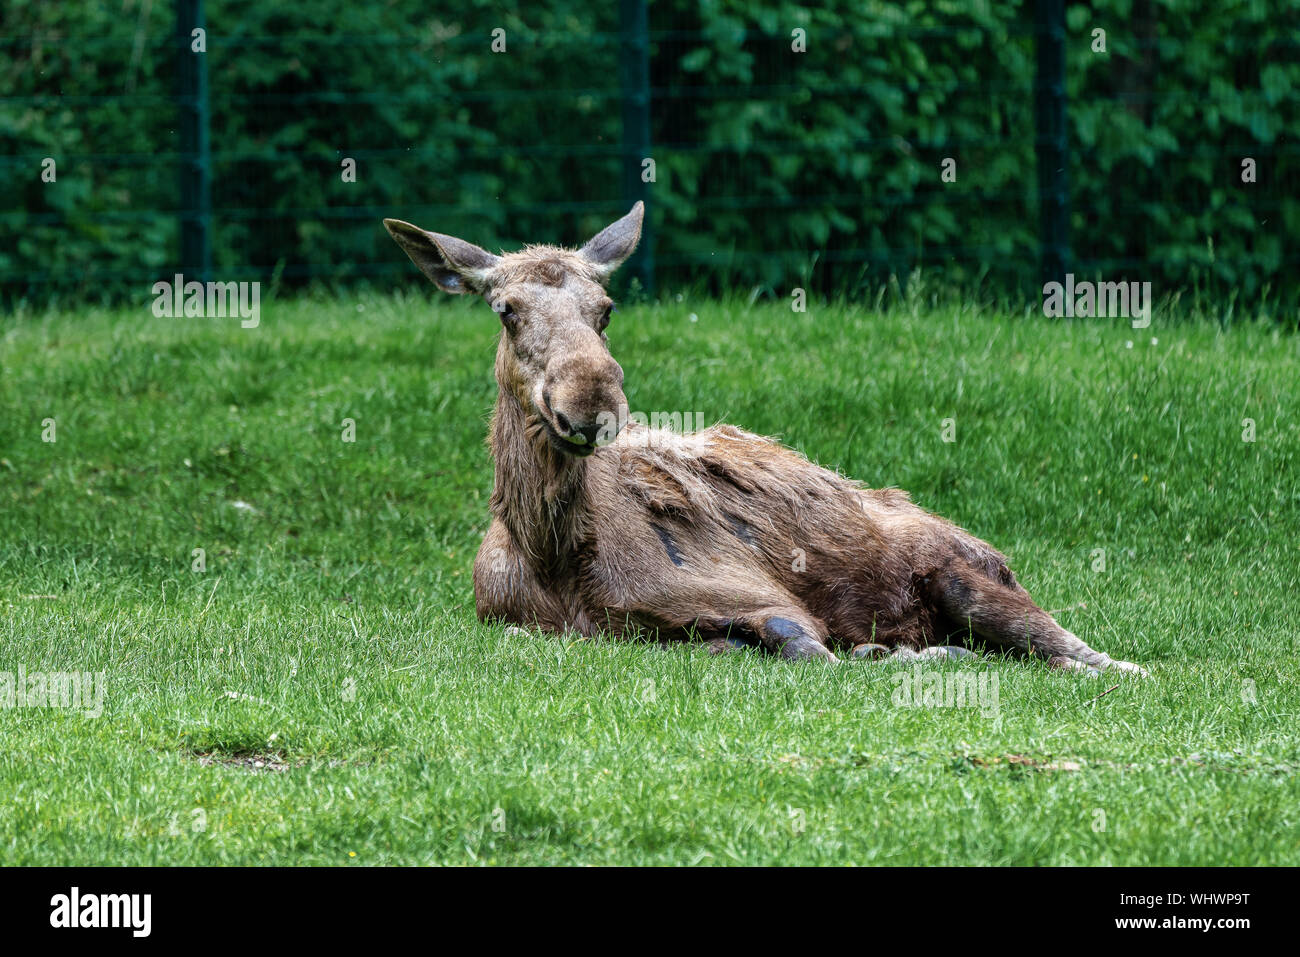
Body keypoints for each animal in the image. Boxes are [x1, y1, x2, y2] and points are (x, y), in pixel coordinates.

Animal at [383, 203, 1148, 677]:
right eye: (505, 309)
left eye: (606, 307)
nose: (590, 403)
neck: (555, 559)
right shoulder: (509, 622)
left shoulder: (763, 596)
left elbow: (808, 650)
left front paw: (893, 658)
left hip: (972, 577)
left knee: (1093, 655)